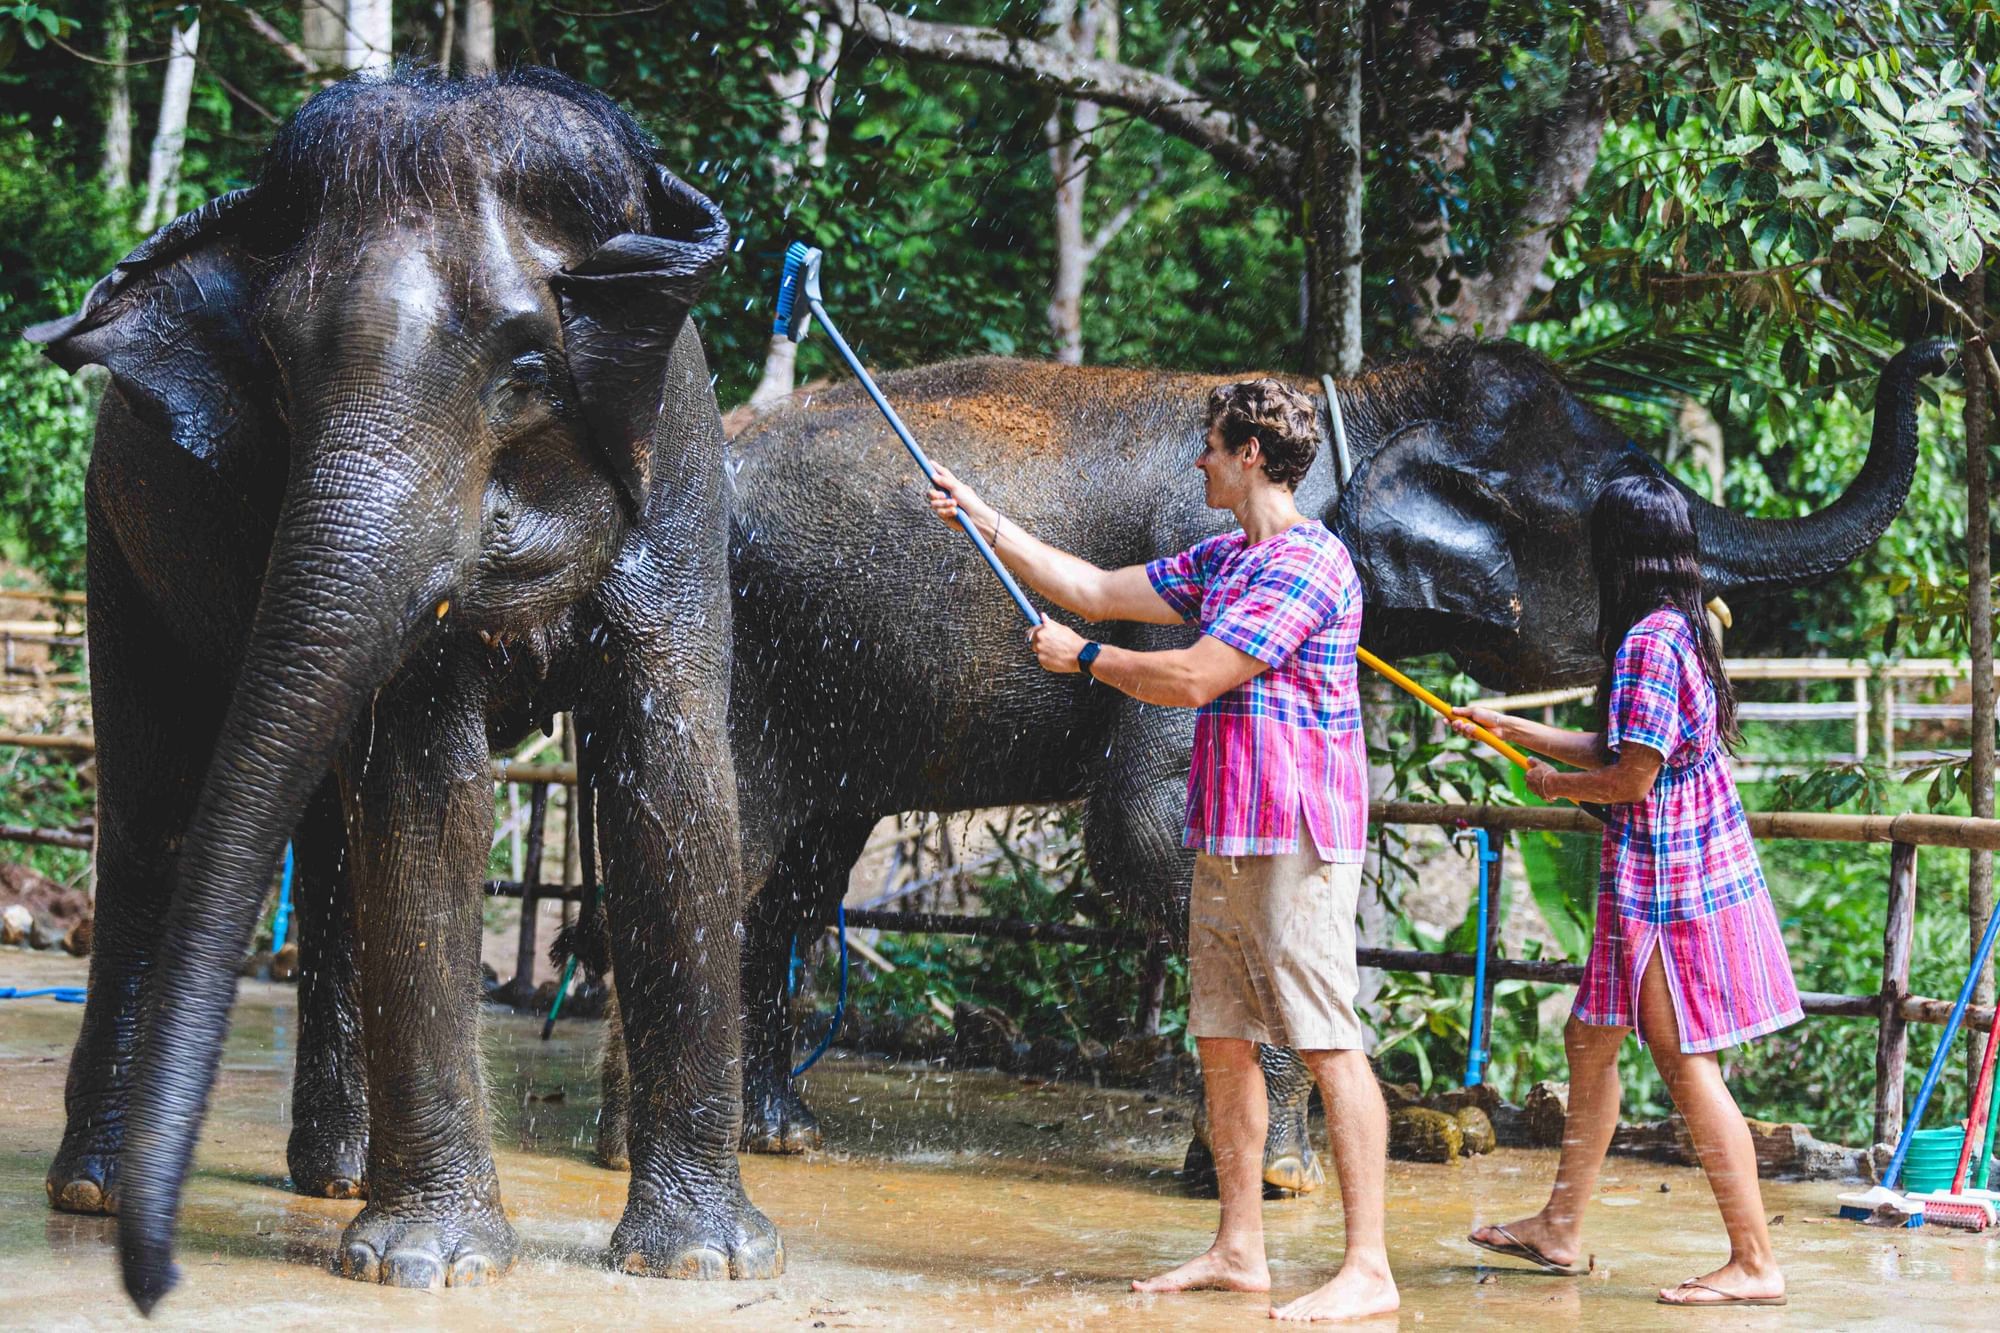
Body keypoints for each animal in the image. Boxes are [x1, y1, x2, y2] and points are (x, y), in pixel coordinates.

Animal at [25, 67, 778, 1309]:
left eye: (528, 368)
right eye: (277, 372)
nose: (153, 1275)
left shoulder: (682, 478)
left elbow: (670, 784)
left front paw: (699, 1261)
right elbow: (430, 791)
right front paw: (425, 1266)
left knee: (323, 838)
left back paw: (329, 1176)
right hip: (116, 542)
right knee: (160, 817)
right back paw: (96, 1188)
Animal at [607, 336, 1948, 1183]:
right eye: (1629, 493)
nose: (1934, 349)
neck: (1357, 399)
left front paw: (1251, 1163)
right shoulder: (1190, 591)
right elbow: (1143, 829)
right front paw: (1285, 1177)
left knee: (802, 874)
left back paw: (782, 1135)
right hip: (729, 647)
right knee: (732, 855)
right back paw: (647, 1149)